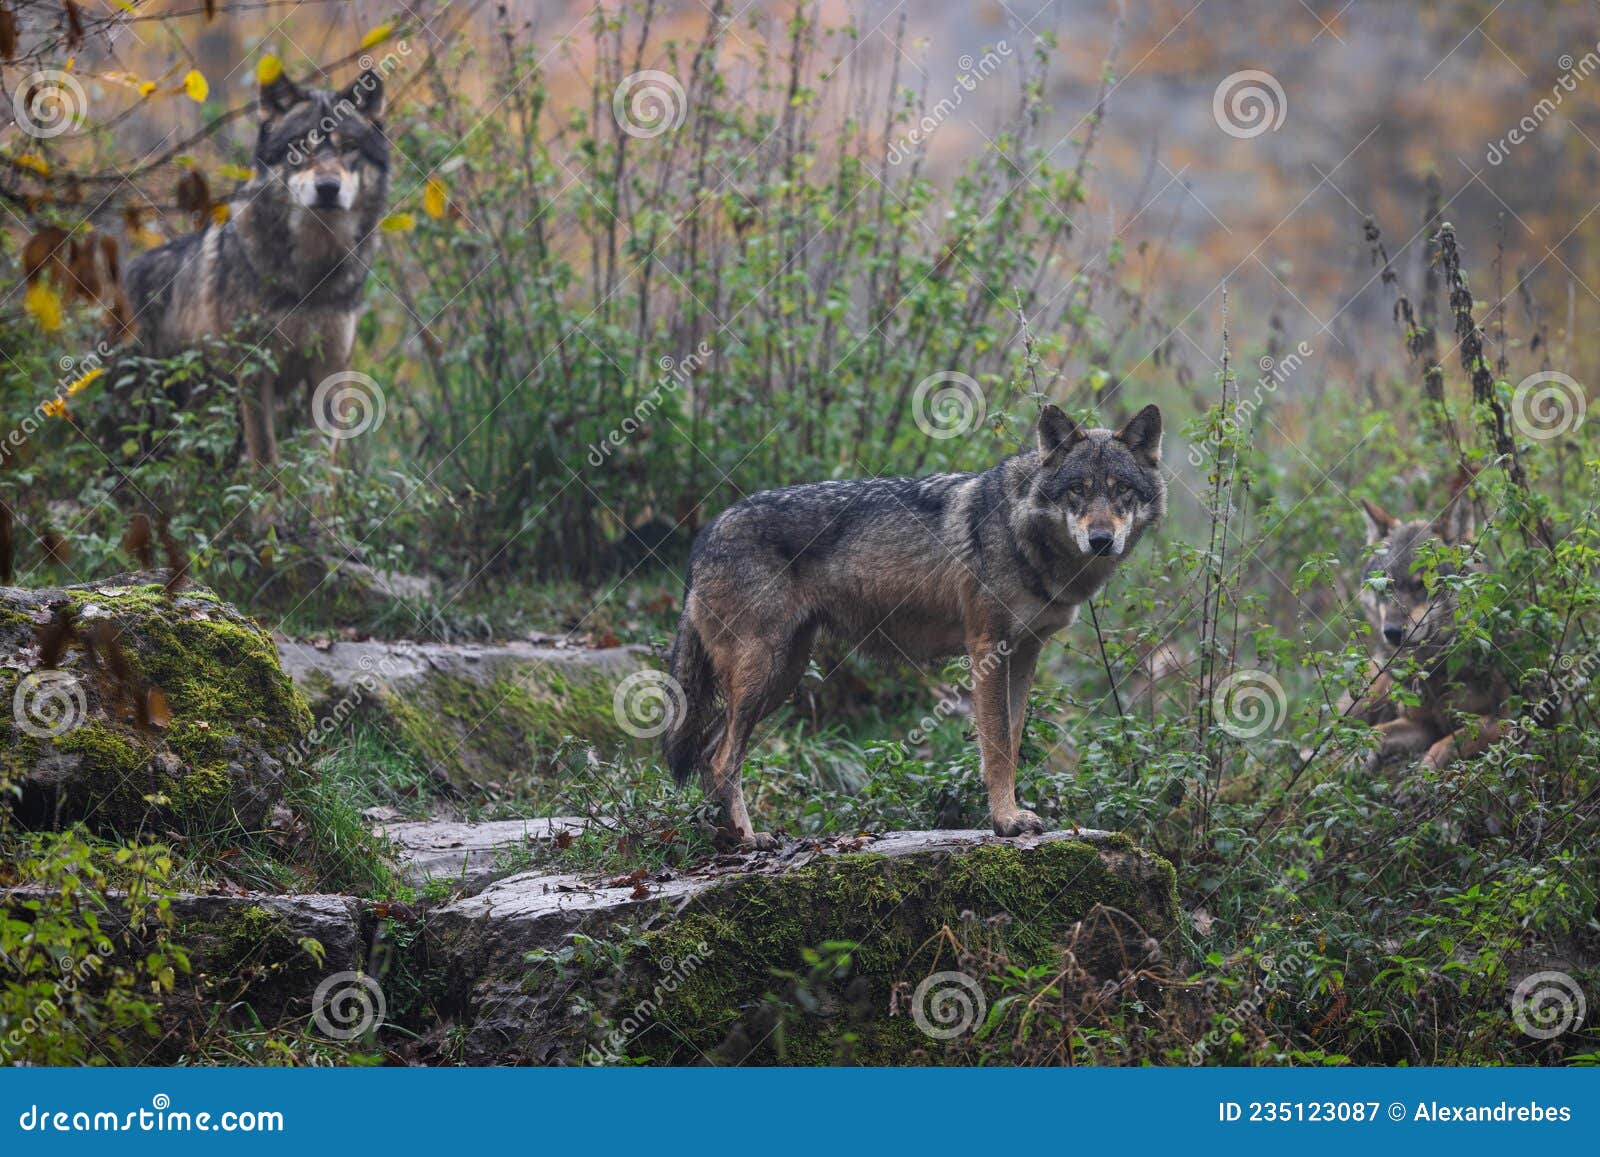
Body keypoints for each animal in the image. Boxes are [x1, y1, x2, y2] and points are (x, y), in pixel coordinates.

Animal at [122, 67, 390, 465]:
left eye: (348, 147)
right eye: (302, 145)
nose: (328, 187)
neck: (311, 276)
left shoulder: (329, 372)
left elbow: (318, 468)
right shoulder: (254, 372)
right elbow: (267, 459)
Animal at [662, 403, 1166, 849]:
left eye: (1121, 489)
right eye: (1077, 489)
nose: (1101, 540)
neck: (1022, 532)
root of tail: (704, 538)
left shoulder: (1025, 653)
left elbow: (1013, 739)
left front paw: (1010, 814)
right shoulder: (988, 648)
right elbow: (998, 749)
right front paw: (1005, 822)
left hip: (782, 676)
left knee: (708, 754)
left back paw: (729, 839)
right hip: (766, 673)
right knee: (723, 760)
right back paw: (748, 839)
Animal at [1353, 483, 1509, 770]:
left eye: (1423, 584)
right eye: (1385, 586)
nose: (1392, 633)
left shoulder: (1511, 716)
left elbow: (1449, 742)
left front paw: (1425, 771)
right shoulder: (1421, 723)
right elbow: (1377, 731)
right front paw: (1358, 757)